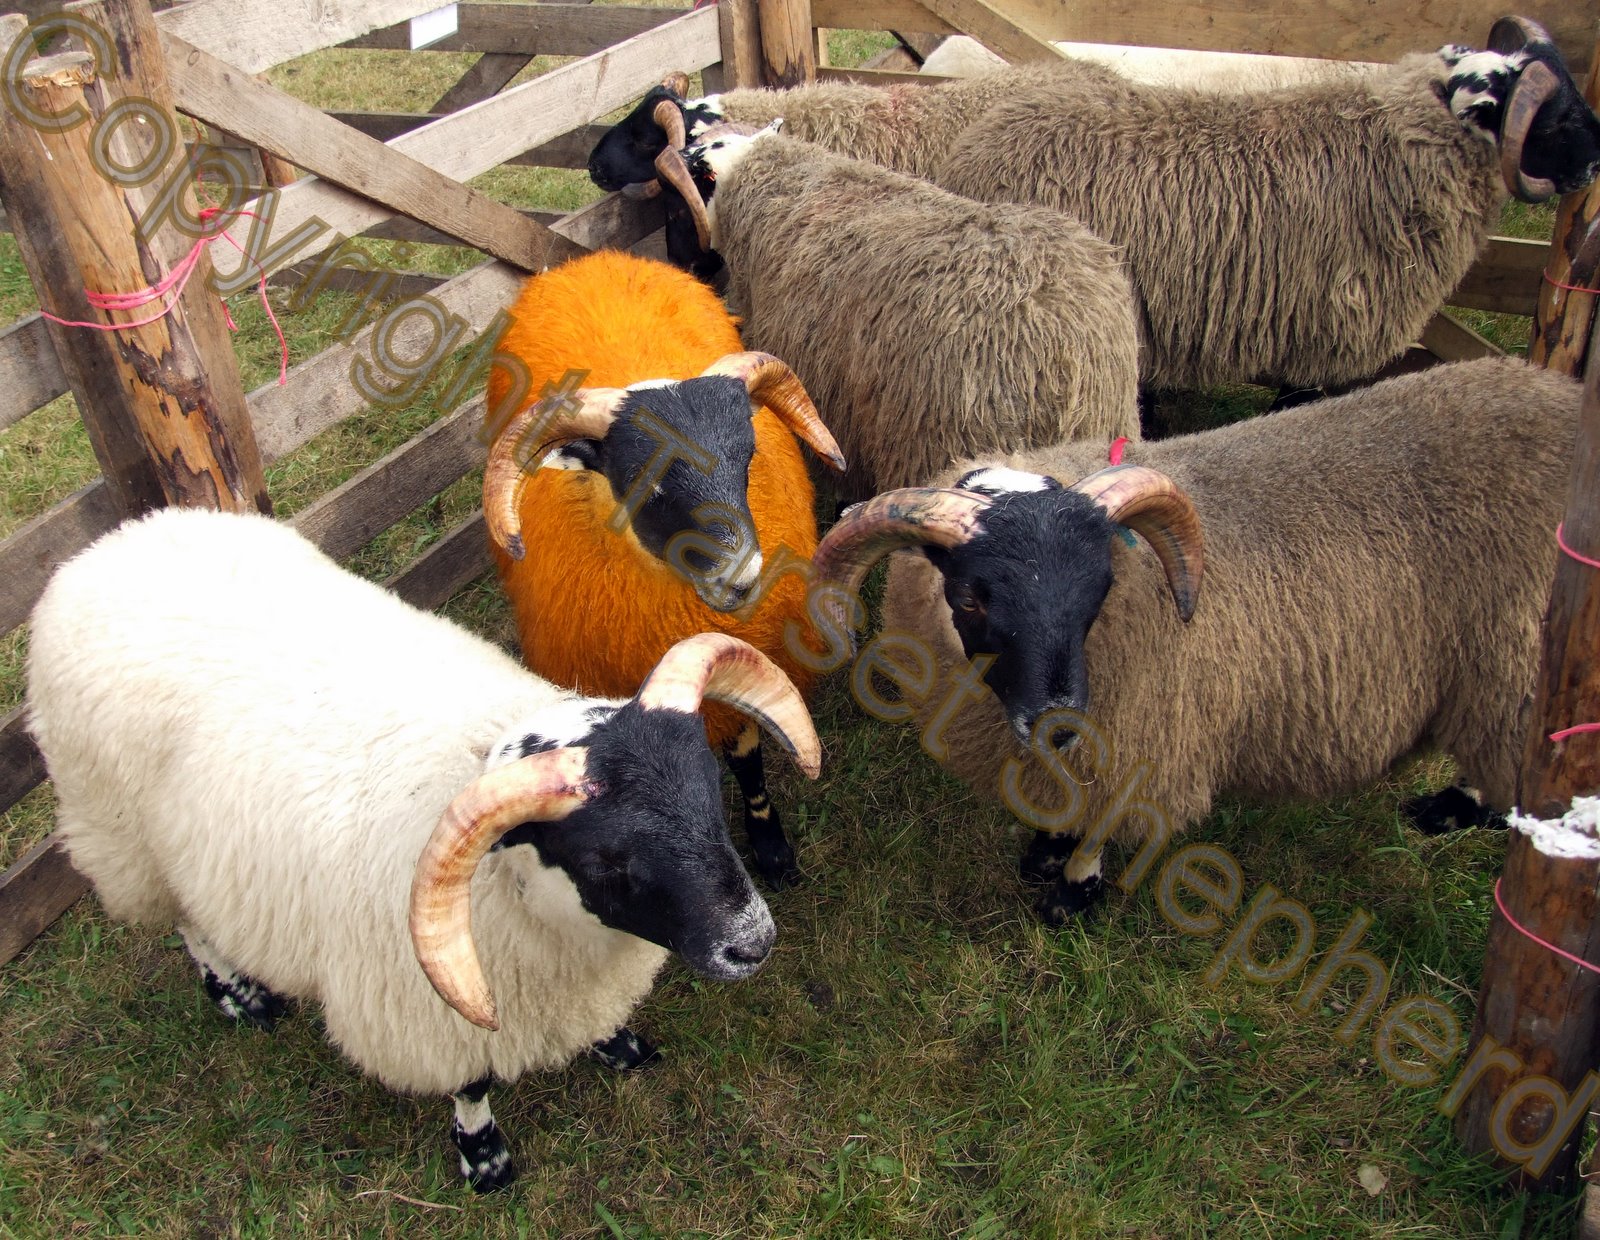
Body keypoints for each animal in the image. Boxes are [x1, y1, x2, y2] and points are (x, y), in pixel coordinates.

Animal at [25, 506, 821, 1192]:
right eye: (608, 861)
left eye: (712, 798)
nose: (754, 942)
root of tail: (106, 547)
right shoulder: (429, 1005)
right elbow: (471, 1085)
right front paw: (485, 1160)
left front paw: (620, 1047)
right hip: (121, 834)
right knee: (185, 920)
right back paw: (238, 995)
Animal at [483, 249, 844, 889]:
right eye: (641, 480)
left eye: (748, 458)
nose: (742, 578)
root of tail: (589, 258)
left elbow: (748, 760)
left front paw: (772, 848)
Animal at [809, 356, 1578, 926]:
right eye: (971, 596)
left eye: (1100, 590)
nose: (1060, 723)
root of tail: (1559, 392)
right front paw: (1046, 849)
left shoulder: (1149, 735)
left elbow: (1108, 817)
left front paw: (1072, 888)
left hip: (1517, 666)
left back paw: (1464, 809)